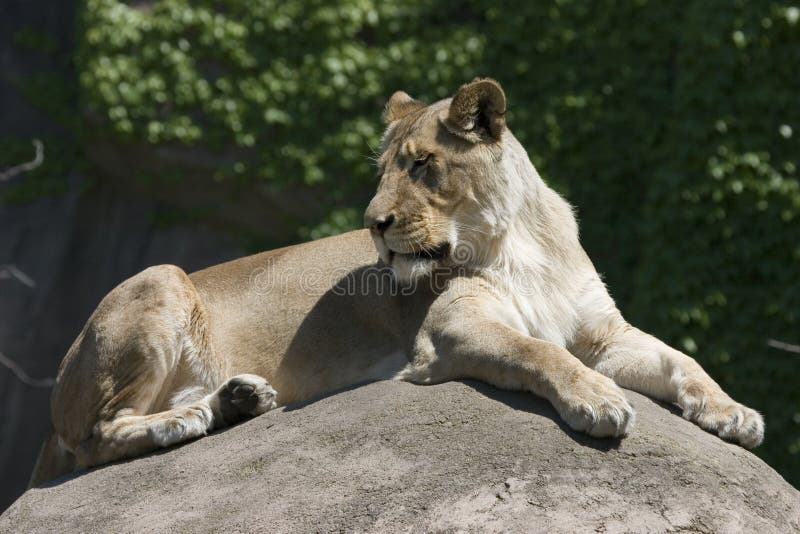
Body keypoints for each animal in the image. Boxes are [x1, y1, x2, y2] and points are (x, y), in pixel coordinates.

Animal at [29, 78, 764, 486]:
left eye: (420, 165)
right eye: (382, 170)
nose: (373, 223)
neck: (517, 240)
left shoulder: (604, 333)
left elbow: (681, 359)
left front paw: (734, 413)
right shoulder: (451, 330)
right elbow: (537, 351)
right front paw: (597, 400)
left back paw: (236, 400)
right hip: (159, 278)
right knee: (95, 439)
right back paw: (182, 421)